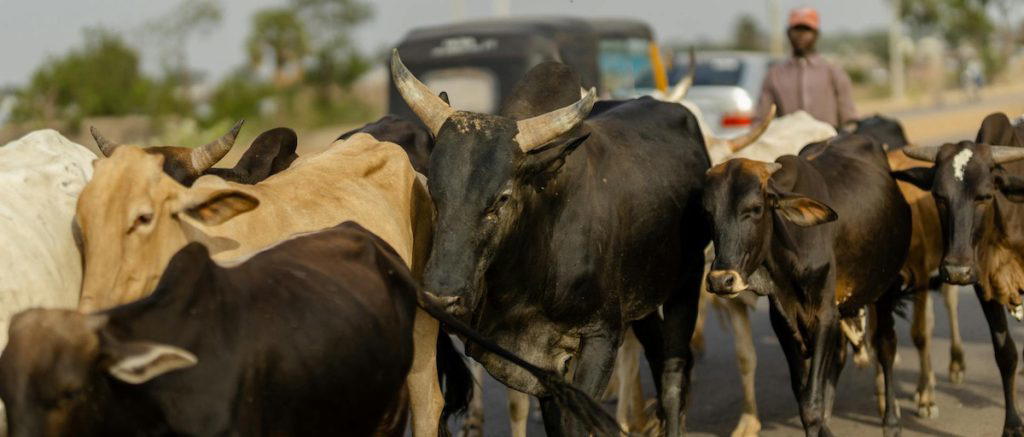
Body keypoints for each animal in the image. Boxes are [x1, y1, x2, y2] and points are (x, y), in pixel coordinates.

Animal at [391, 49, 712, 436]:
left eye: (502, 197)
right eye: (434, 190)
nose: (442, 296)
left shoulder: (602, 337)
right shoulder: (541, 365)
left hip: (687, 282)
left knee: (673, 371)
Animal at [703, 134, 911, 437]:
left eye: (755, 209)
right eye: (708, 213)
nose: (721, 279)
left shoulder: (825, 316)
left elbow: (811, 405)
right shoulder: (783, 322)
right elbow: (805, 398)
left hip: (886, 287)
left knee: (885, 347)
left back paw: (891, 421)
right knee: (840, 357)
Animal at [894, 112, 1024, 436]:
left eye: (985, 196)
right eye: (939, 196)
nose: (956, 269)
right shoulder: (983, 285)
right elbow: (1006, 354)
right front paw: (1013, 425)